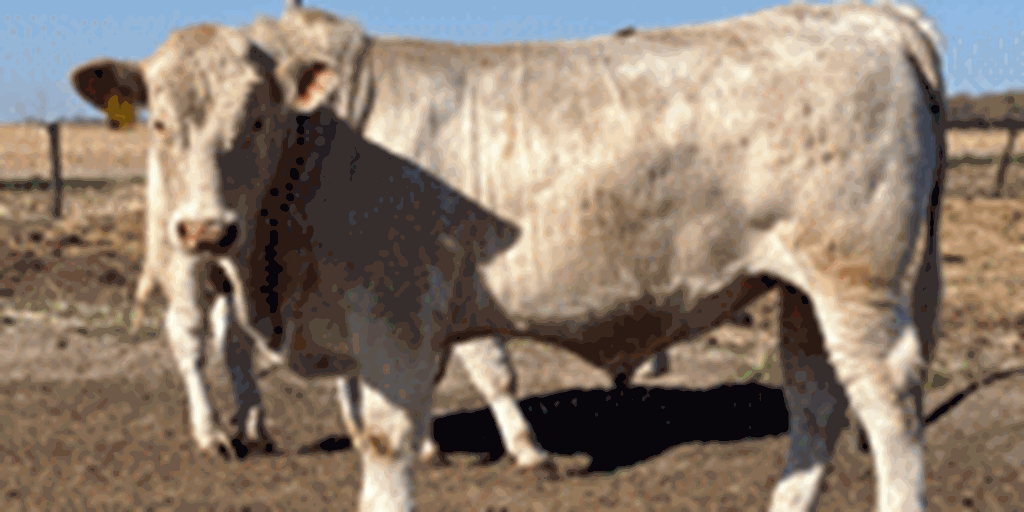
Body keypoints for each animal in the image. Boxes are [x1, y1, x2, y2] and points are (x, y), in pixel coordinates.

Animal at [75, 1, 947, 511]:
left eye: (256, 117)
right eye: (159, 121)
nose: (205, 231)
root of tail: (861, 17)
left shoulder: (392, 321)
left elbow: (389, 442)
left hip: (856, 280)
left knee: (886, 405)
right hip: (799, 289)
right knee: (816, 404)